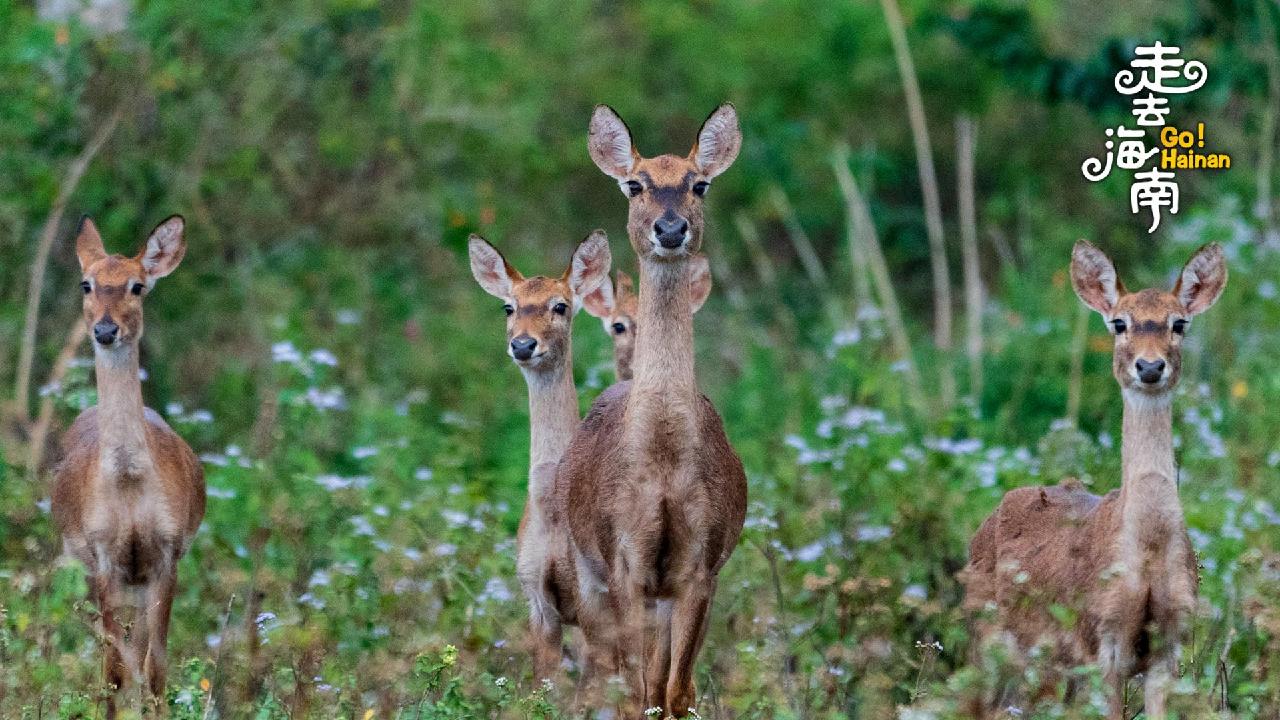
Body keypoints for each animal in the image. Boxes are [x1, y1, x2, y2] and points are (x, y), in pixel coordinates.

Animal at [51, 216, 206, 718]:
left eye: (137, 285)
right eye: (87, 283)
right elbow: (114, 673)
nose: (105, 330)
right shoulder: (102, 555)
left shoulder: (167, 552)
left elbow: (155, 670)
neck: (129, 485)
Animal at [467, 230, 617, 686]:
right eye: (508, 306)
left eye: (560, 305)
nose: (522, 344)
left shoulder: (594, 600)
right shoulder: (536, 596)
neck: (551, 513)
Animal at [961, 241, 1227, 719]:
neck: (1147, 551)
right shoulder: (1103, 634)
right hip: (987, 635)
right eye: (1119, 322)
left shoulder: (1170, 640)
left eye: (1179, 323)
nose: (1150, 366)